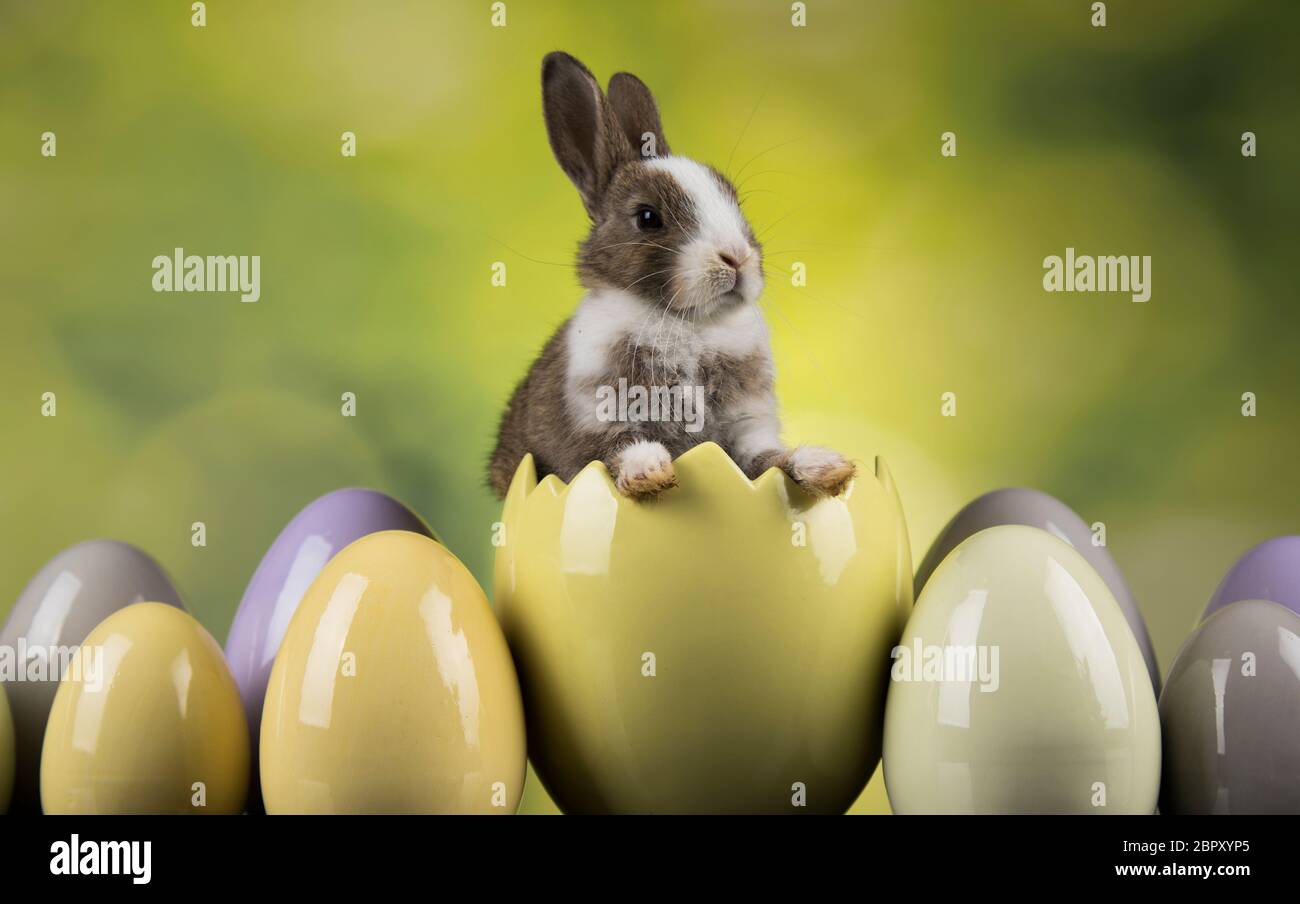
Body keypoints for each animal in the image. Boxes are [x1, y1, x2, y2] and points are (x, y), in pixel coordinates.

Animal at [488, 51, 855, 502]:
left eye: (735, 202)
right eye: (648, 217)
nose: (736, 258)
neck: (691, 324)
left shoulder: (747, 430)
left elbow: (770, 458)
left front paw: (828, 467)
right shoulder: (592, 415)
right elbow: (617, 446)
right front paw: (650, 473)